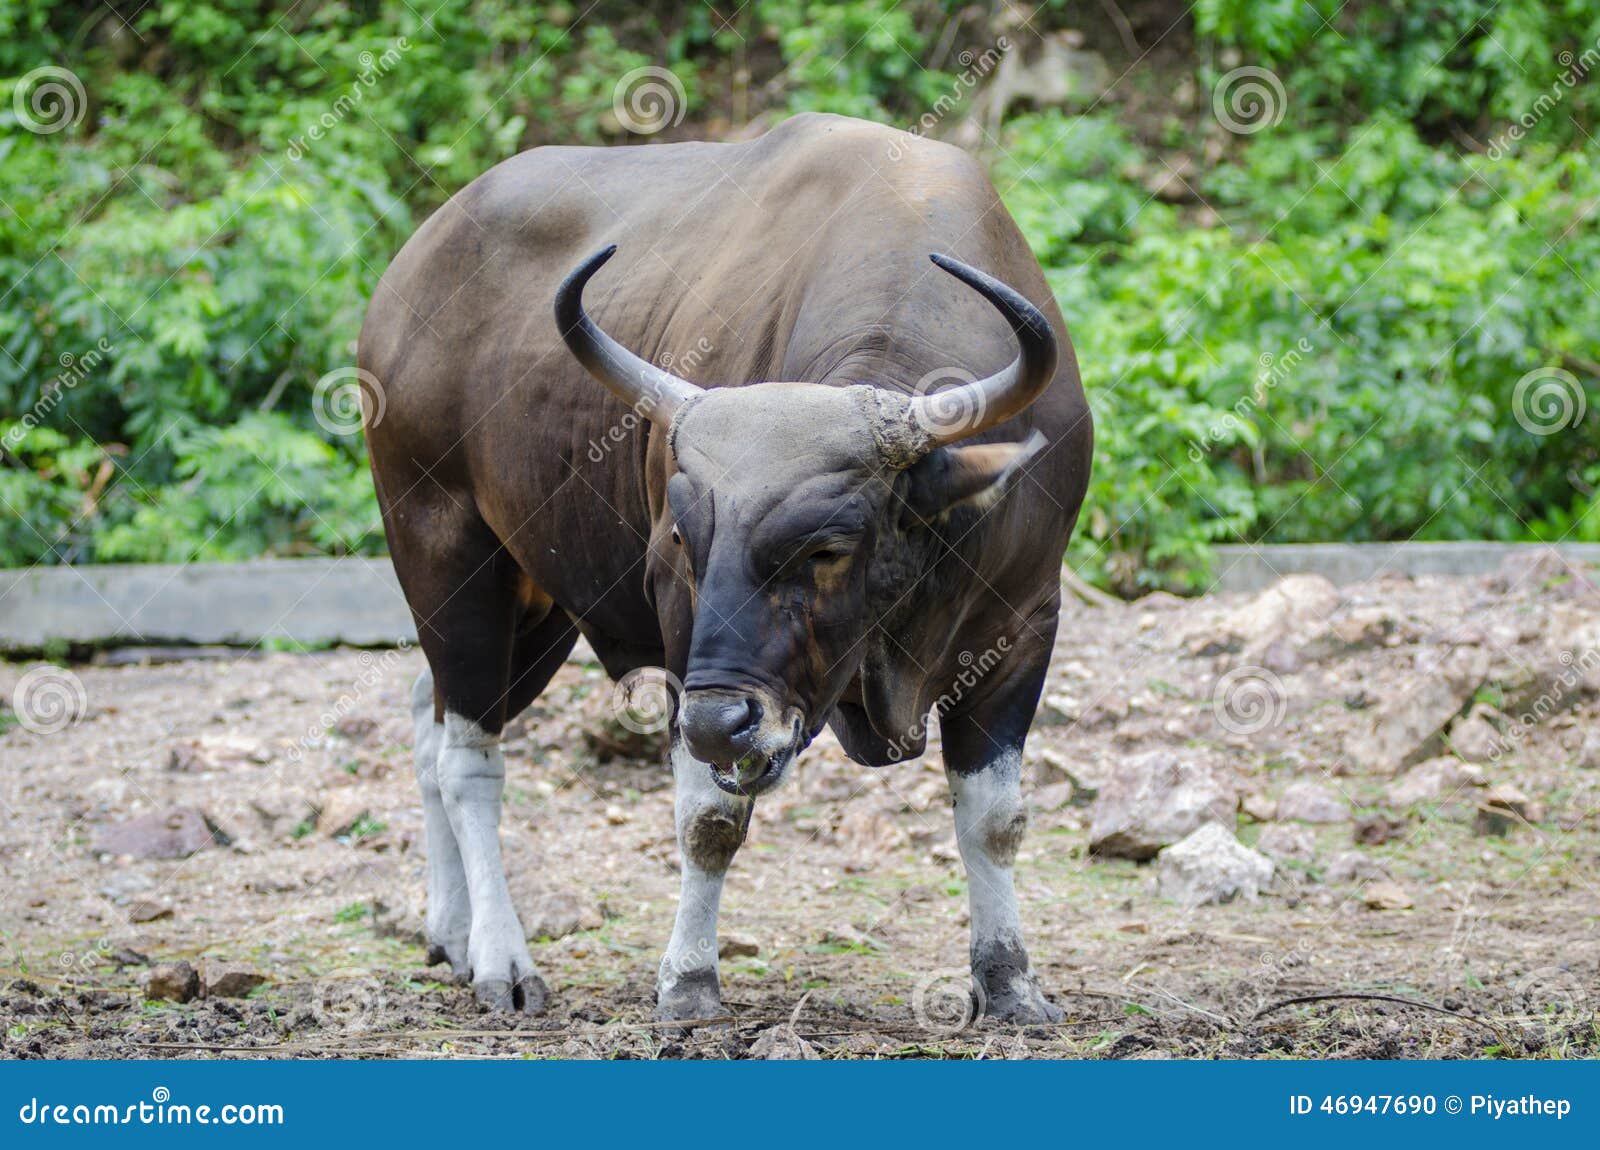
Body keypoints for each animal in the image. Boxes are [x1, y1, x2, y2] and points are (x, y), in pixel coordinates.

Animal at [358, 112, 1093, 1024]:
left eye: (828, 548)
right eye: (685, 540)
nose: (720, 721)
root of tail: (408, 274)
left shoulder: (1026, 621)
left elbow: (994, 818)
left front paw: (1010, 980)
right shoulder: (686, 644)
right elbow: (708, 819)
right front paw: (688, 979)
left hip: (541, 605)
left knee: (428, 713)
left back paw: (451, 935)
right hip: (446, 554)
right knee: (467, 759)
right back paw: (501, 957)